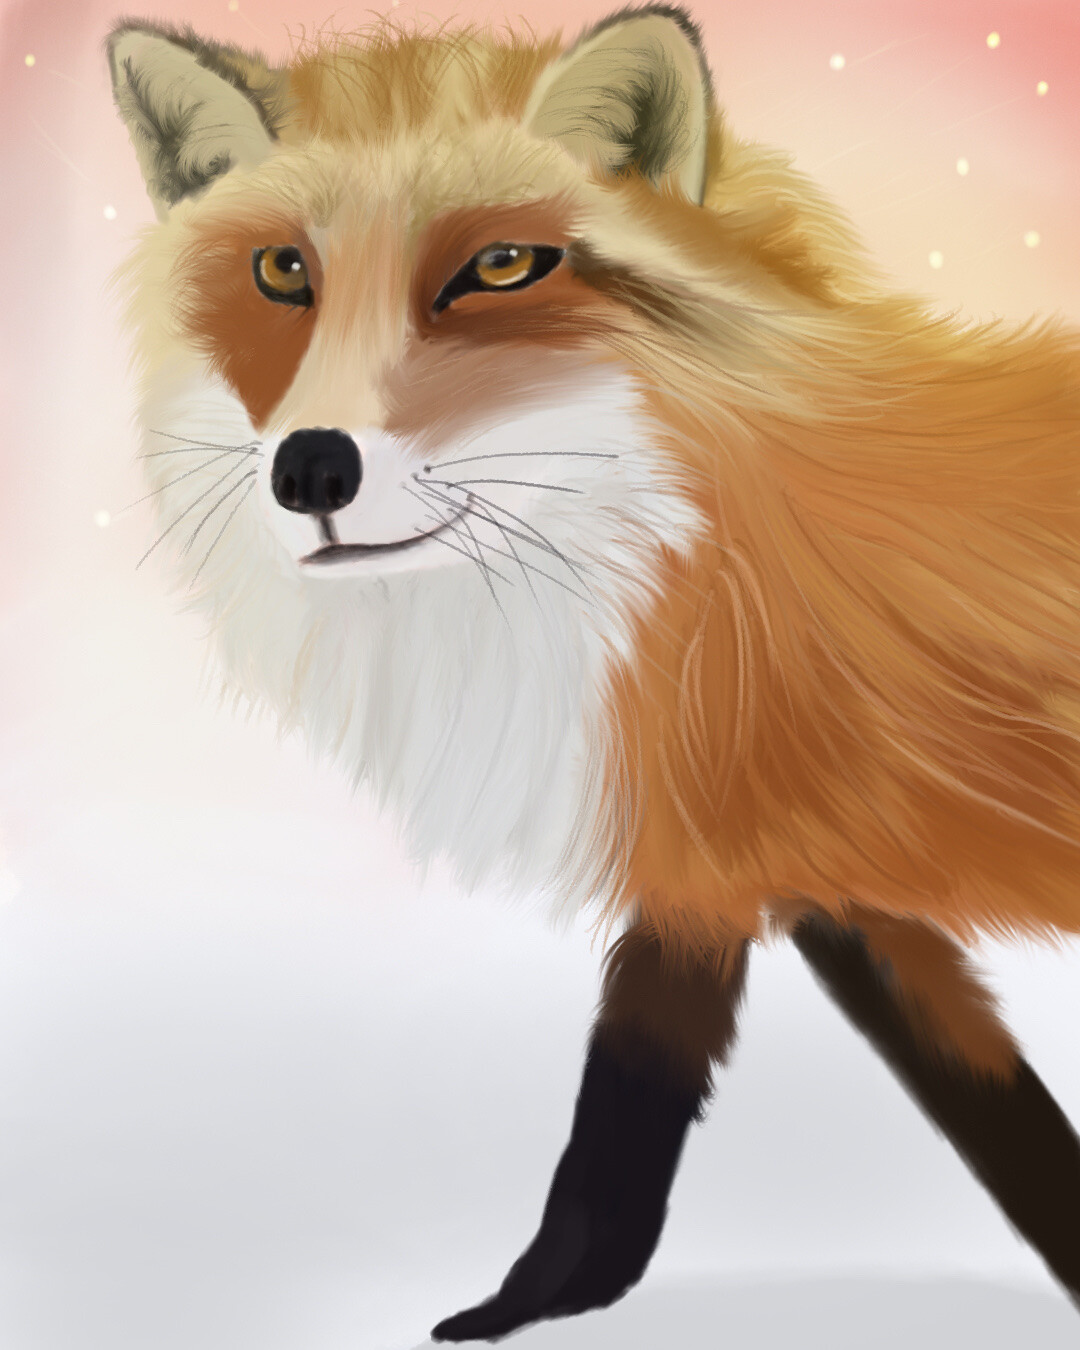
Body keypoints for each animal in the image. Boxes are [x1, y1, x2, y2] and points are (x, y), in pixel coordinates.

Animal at [104, 6, 1080, 1340]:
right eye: (283, 273)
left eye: (503, 267)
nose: (310, 470)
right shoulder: (783, 874)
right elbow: (988, 1117)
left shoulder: (729, 853)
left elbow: (622, 1108)